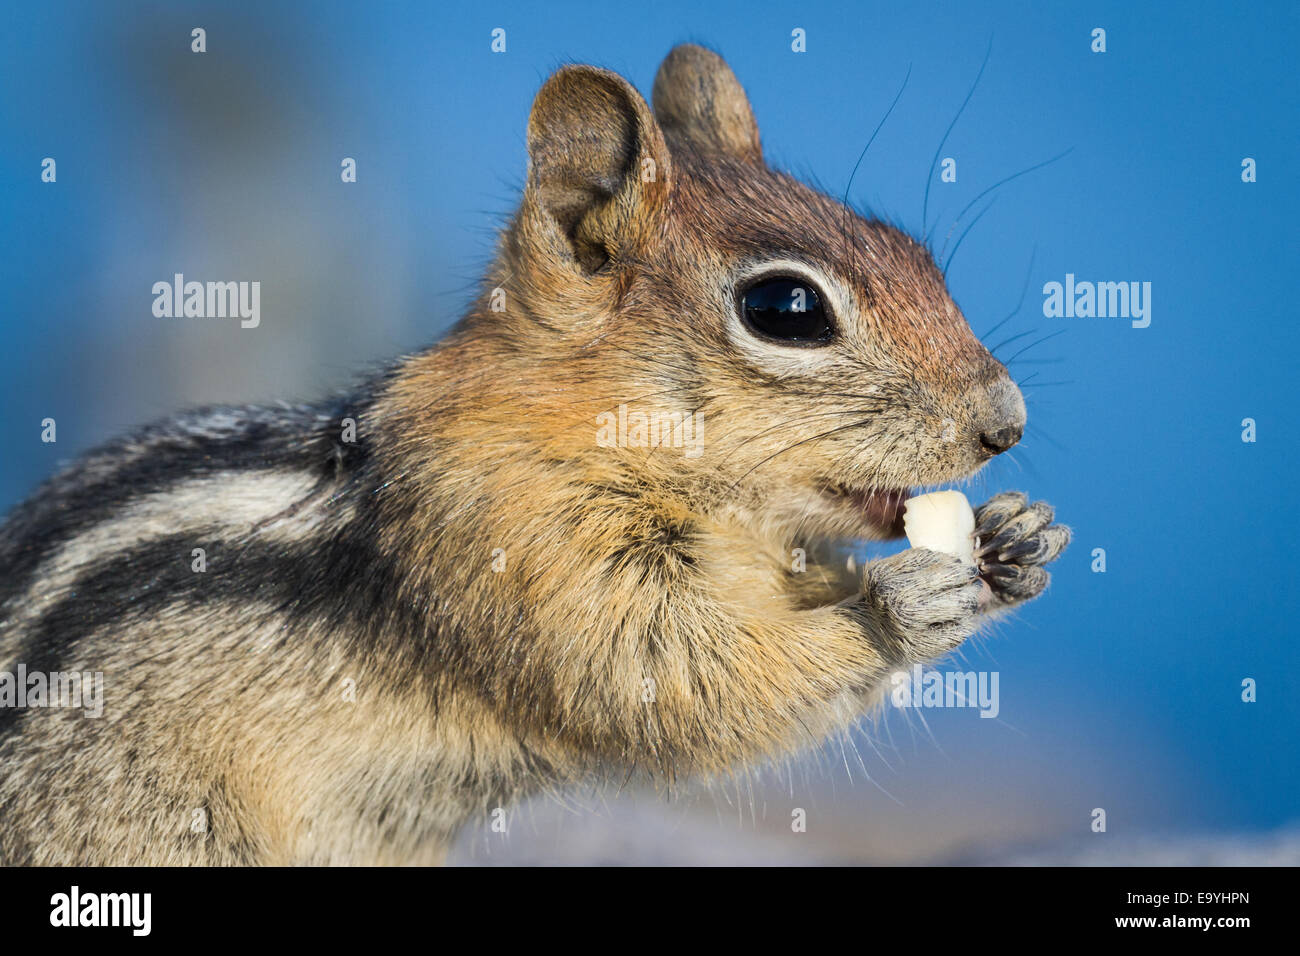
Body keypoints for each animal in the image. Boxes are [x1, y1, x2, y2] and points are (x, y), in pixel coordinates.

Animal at [0, 44, 1069, 865]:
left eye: (914, 253)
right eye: (787, 308)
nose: (1006, 423)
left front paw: (1018, 540)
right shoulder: (525, 545)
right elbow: (684, 681)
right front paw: (900, 605)